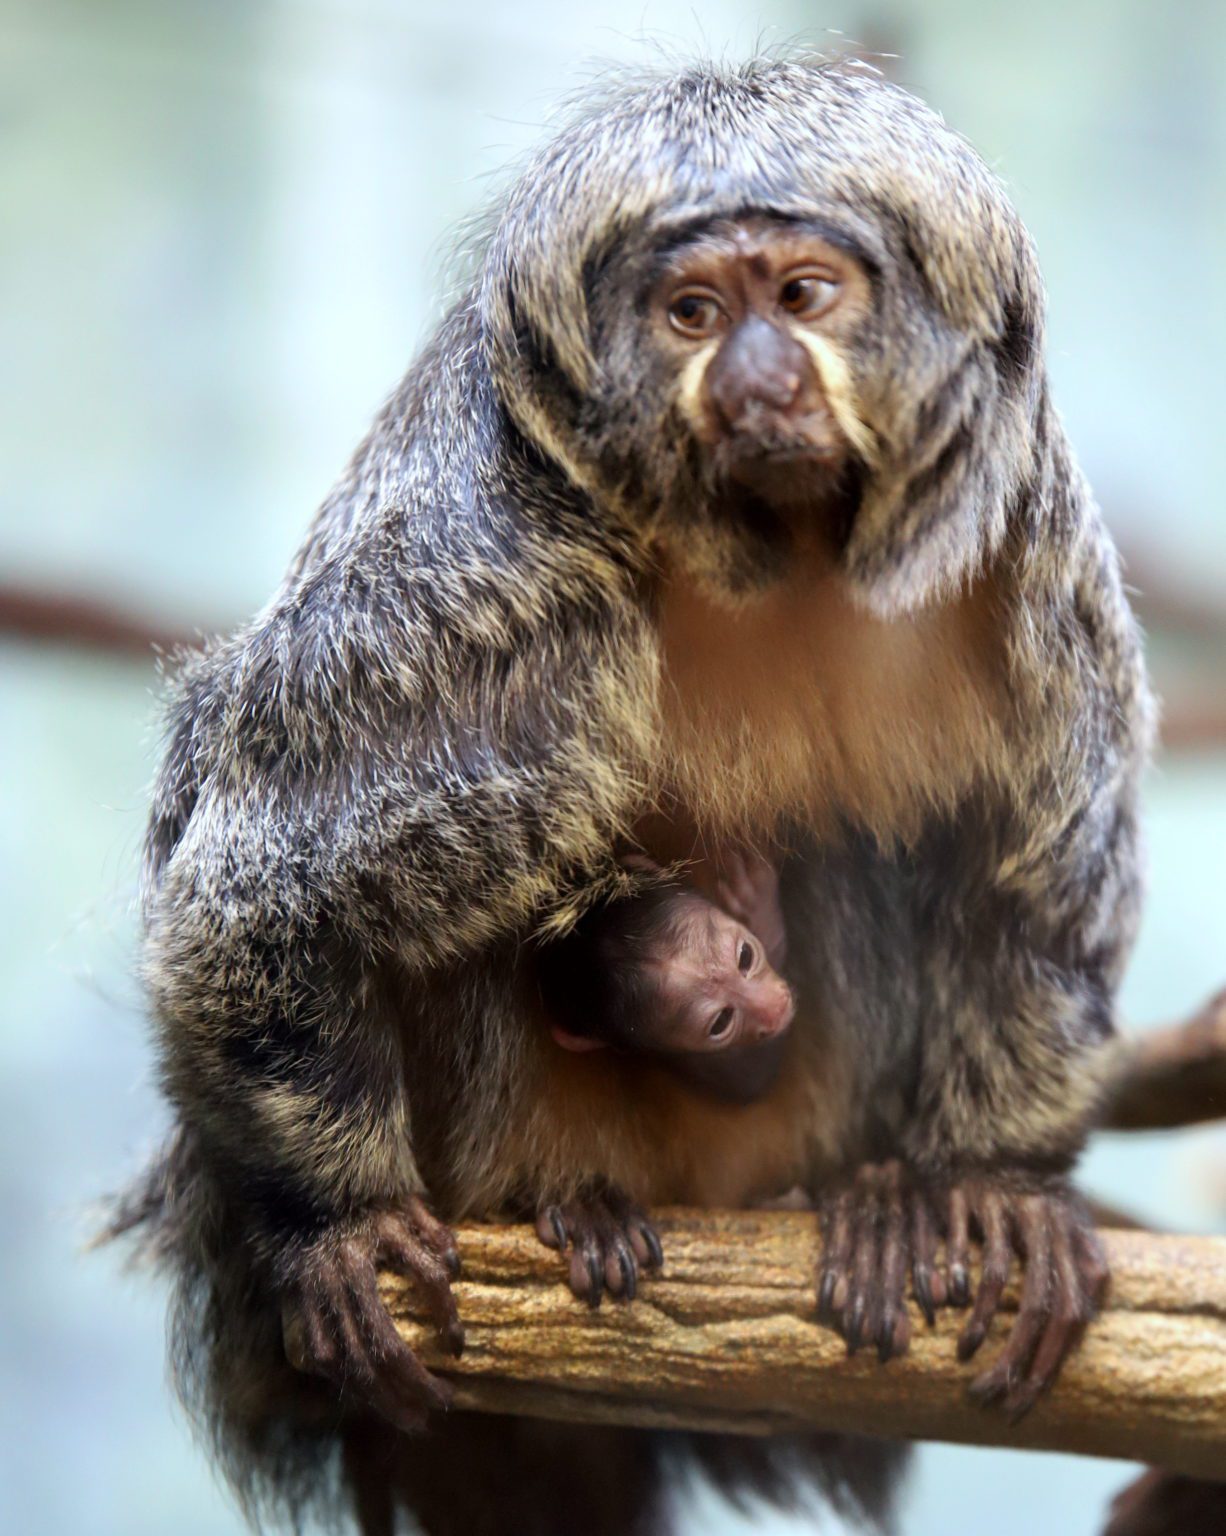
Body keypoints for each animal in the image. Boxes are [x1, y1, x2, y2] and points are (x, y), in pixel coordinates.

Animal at [112, 54, 1153, 1536]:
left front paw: (991, 1185)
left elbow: (1038, 872)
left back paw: (864, 1201)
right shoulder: (496, 581)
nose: (760, 378)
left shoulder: (1024, 538)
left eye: (802, 296)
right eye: (692, 314)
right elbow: (251, 892)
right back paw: (569, 1205)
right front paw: (337, 1225)